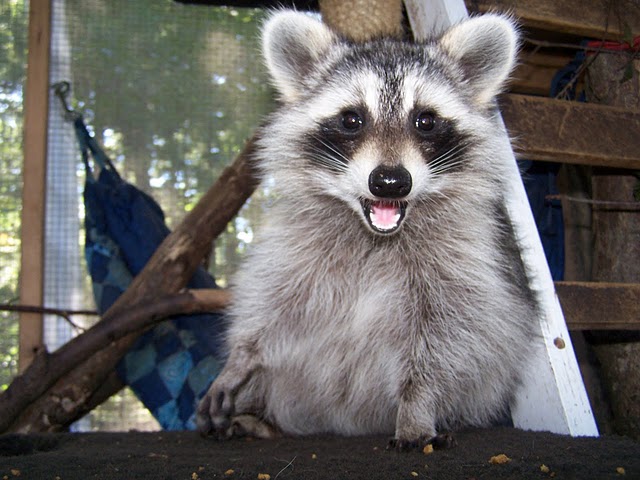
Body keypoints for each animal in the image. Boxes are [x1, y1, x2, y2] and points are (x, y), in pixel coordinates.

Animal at [197, 10, 537, 448]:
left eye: (425, 120)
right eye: (351, 119)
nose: (390, 183)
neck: (377, 235)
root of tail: (345, 422)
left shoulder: (466, 260)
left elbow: (453, 332)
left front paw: (417, 403)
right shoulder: (298, 245)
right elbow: (273, 300)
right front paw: (241, 355)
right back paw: (263, 419)